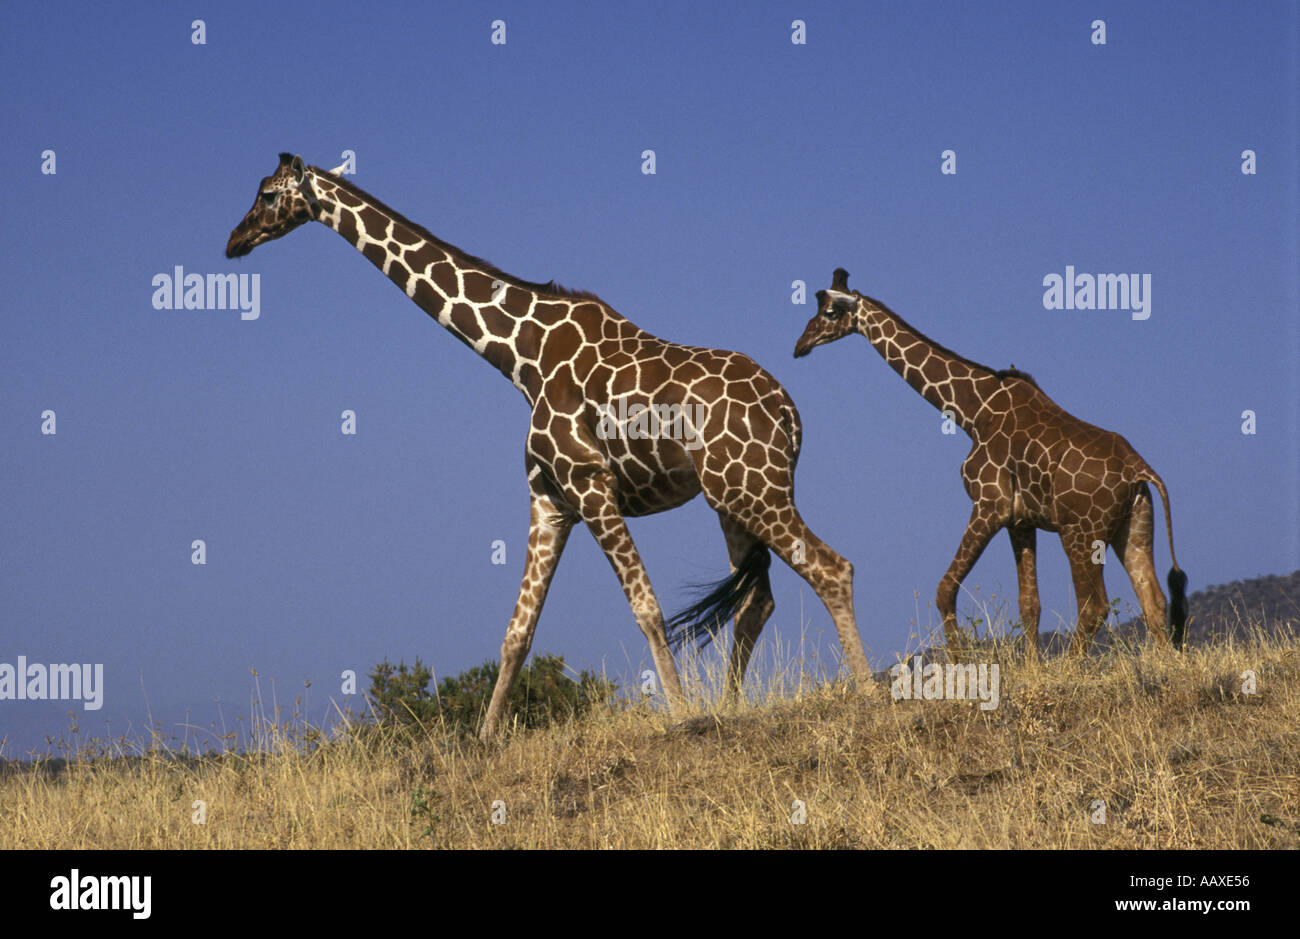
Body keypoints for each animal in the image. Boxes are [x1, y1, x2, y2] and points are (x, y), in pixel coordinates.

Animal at [225, 154, 871, 739]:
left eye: (266, 193)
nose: (234, 241)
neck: (520, 355)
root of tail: (790, 413)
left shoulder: (590, 484)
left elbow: (647, 608)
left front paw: (681, 713)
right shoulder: (550, 499)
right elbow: (517, 631)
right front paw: (485, 739)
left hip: (752, 487)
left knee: (830, 567)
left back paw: (865, 691)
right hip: (730, 495)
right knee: (755, 599)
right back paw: (732, 707)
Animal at [793, 268, 1188, 659]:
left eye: (830, 312)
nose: (800, 345)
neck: (973, 411)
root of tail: (1139, 469)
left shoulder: (989, 504)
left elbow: (945, 589)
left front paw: (958, 664)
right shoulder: (1021, 520)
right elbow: (1029, 604)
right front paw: (1031, 667)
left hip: (1081, 532)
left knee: (1095, 605)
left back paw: (1075, 666)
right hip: (1133, 527)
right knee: (1153, 598)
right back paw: (1162, 664)